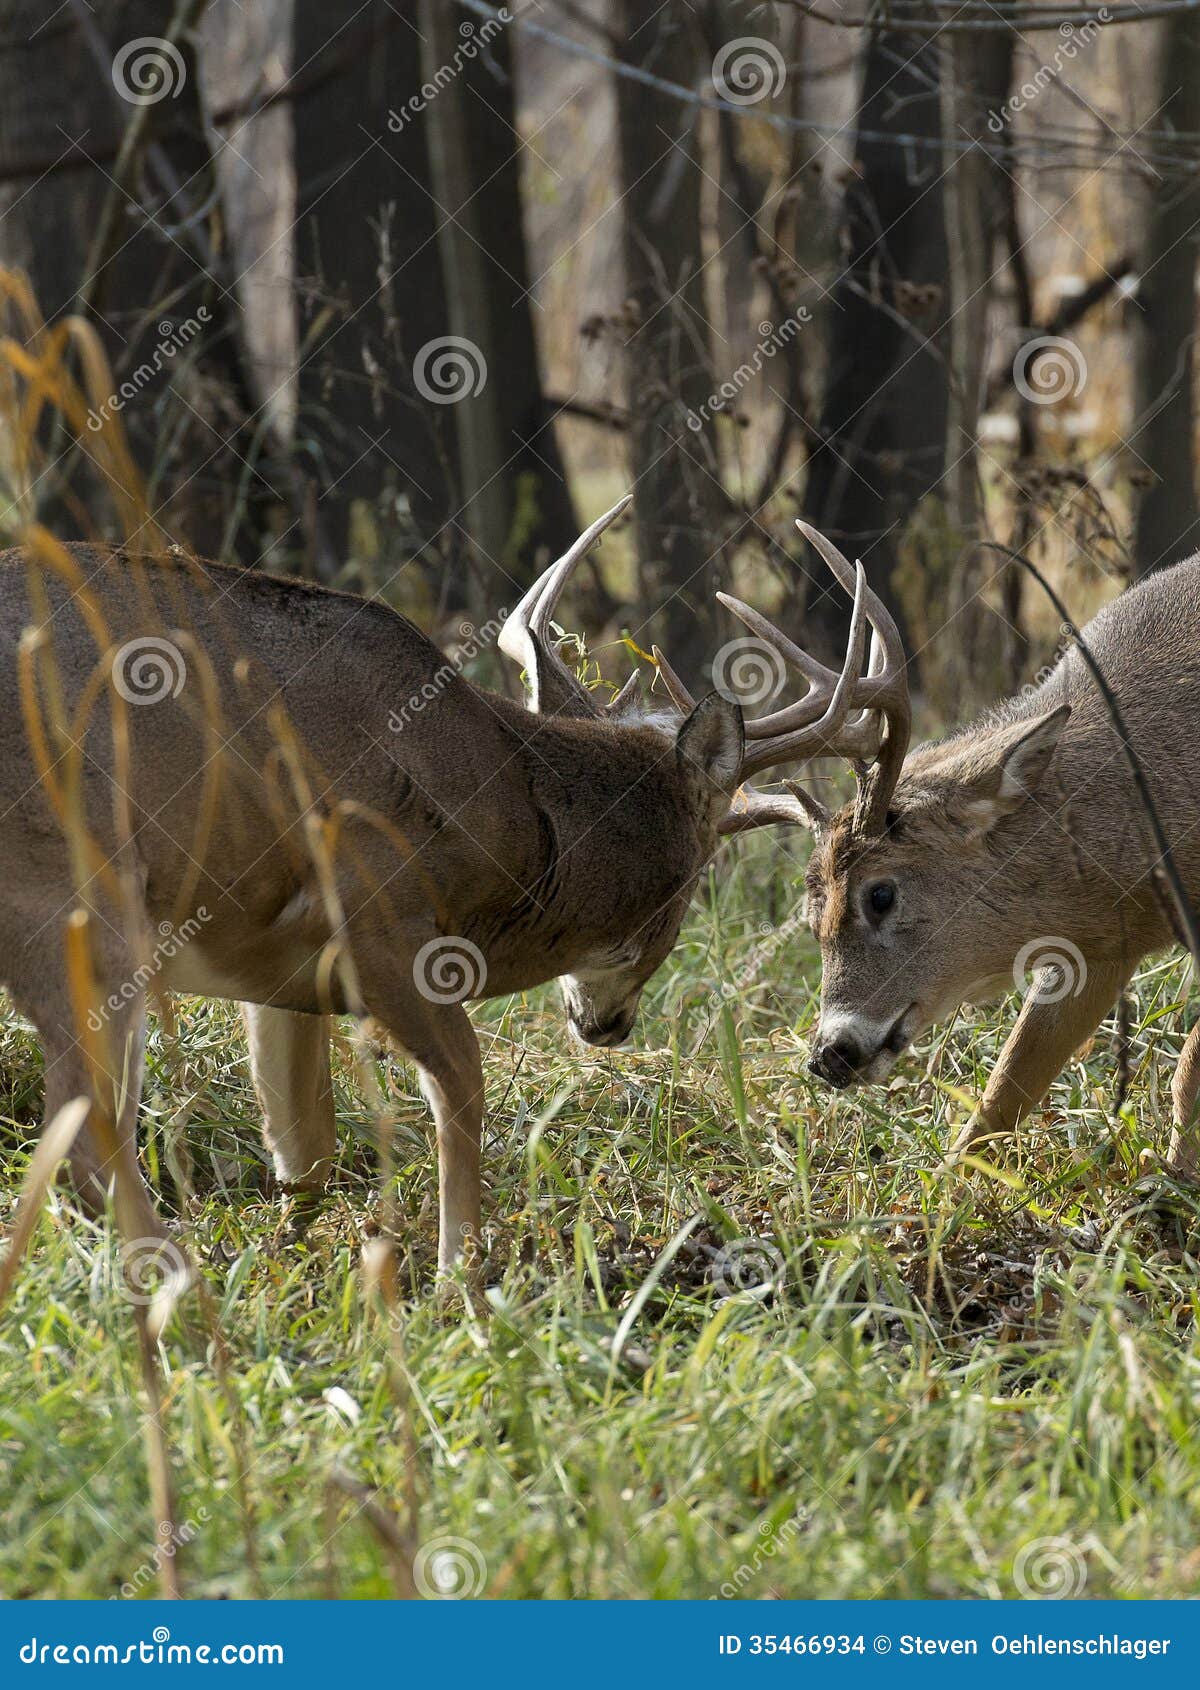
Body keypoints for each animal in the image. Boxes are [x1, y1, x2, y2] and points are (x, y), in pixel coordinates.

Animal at [0, 499, 898, 1280]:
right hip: (77, 898)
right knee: (84, 1145)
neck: (508, 804)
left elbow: (305, 1151)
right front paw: (457, 1285)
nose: (610, 1025)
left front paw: (300, 1272)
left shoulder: (276, 970)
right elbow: (463, 1091)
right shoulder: (381, 915)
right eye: (685, 888)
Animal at [699, 519, 1200, 1183]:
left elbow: (1188, 1066)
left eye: (881, 894)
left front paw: (1171, 1184)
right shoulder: (1097, 942)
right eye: (810, 918)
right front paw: (944, 1189)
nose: (829, 1054)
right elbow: (1007, 1087)